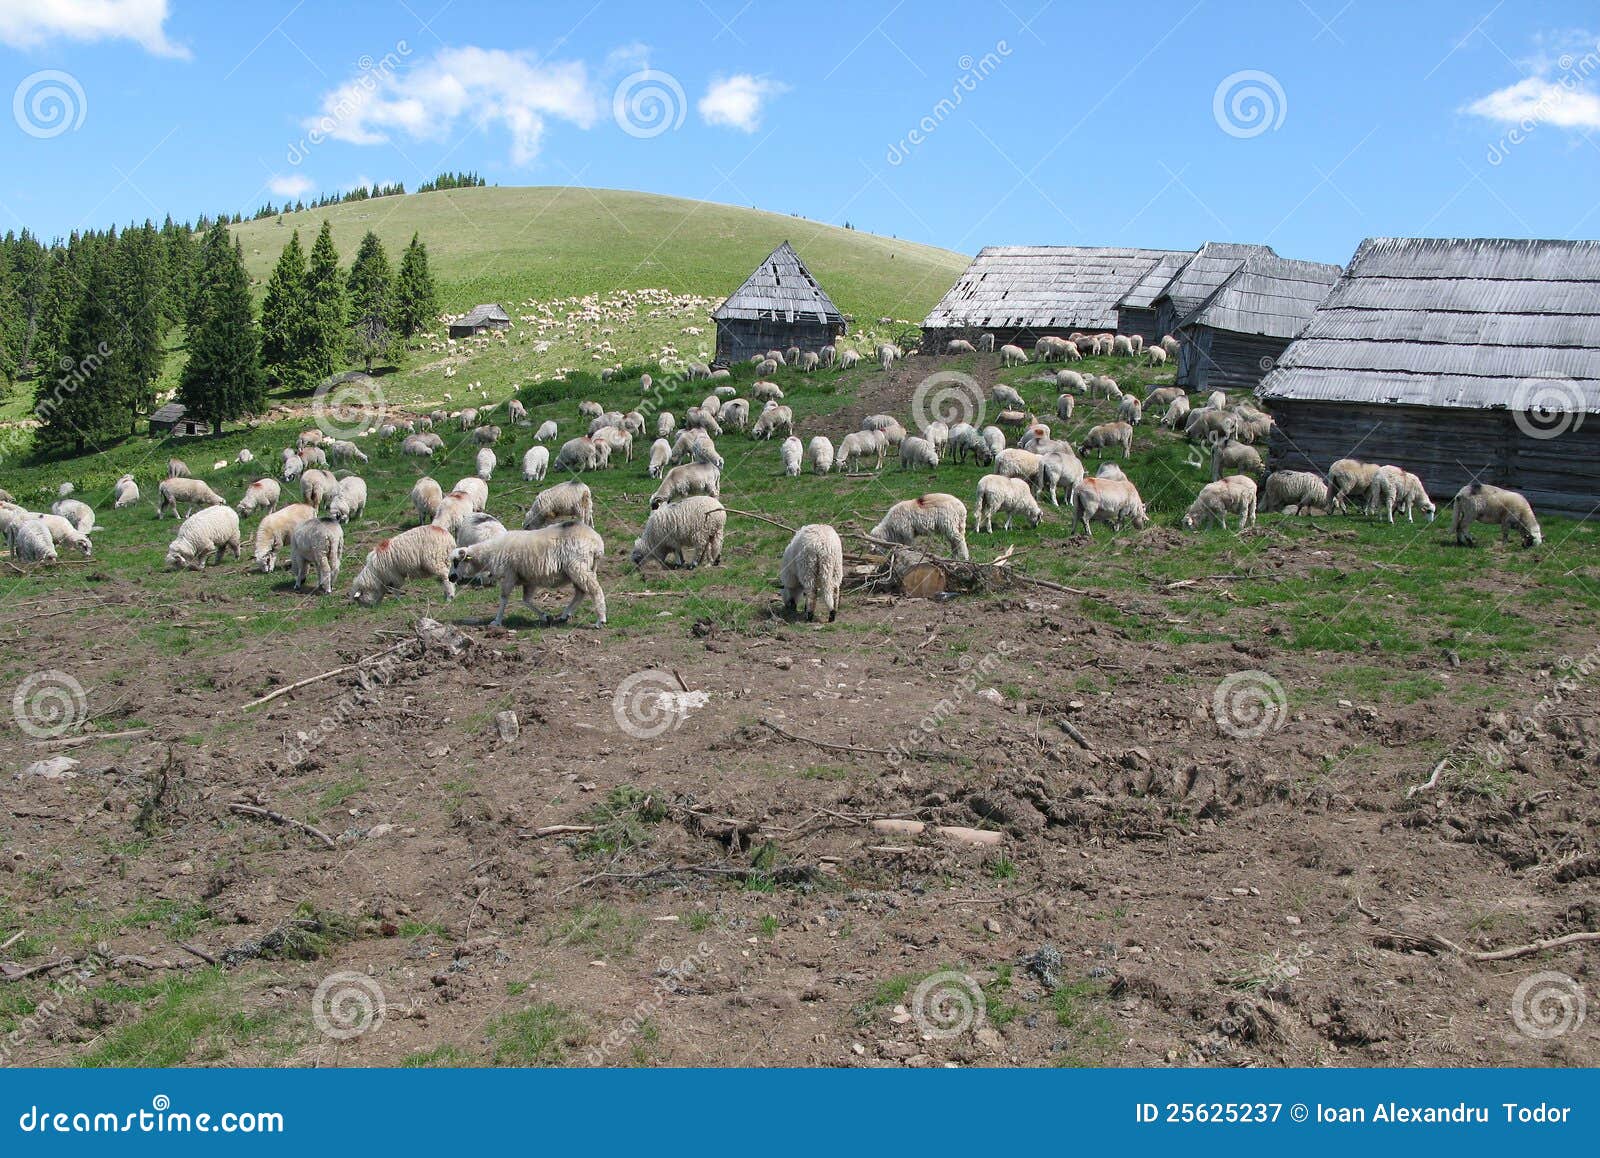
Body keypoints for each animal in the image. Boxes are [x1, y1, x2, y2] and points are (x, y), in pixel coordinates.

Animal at [448, 522, 608, 627]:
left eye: (456, 561)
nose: (451, 577)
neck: (489, 554)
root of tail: (597, 543)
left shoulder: (509, 575)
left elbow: (504, 599)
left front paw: (497, 621)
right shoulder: (528, 579)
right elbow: (526, 600)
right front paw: (545, 617)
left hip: (578, 567)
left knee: (595, 590)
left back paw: (600, 619)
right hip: (579, 569)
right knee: (581, 592)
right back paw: (565, 615)